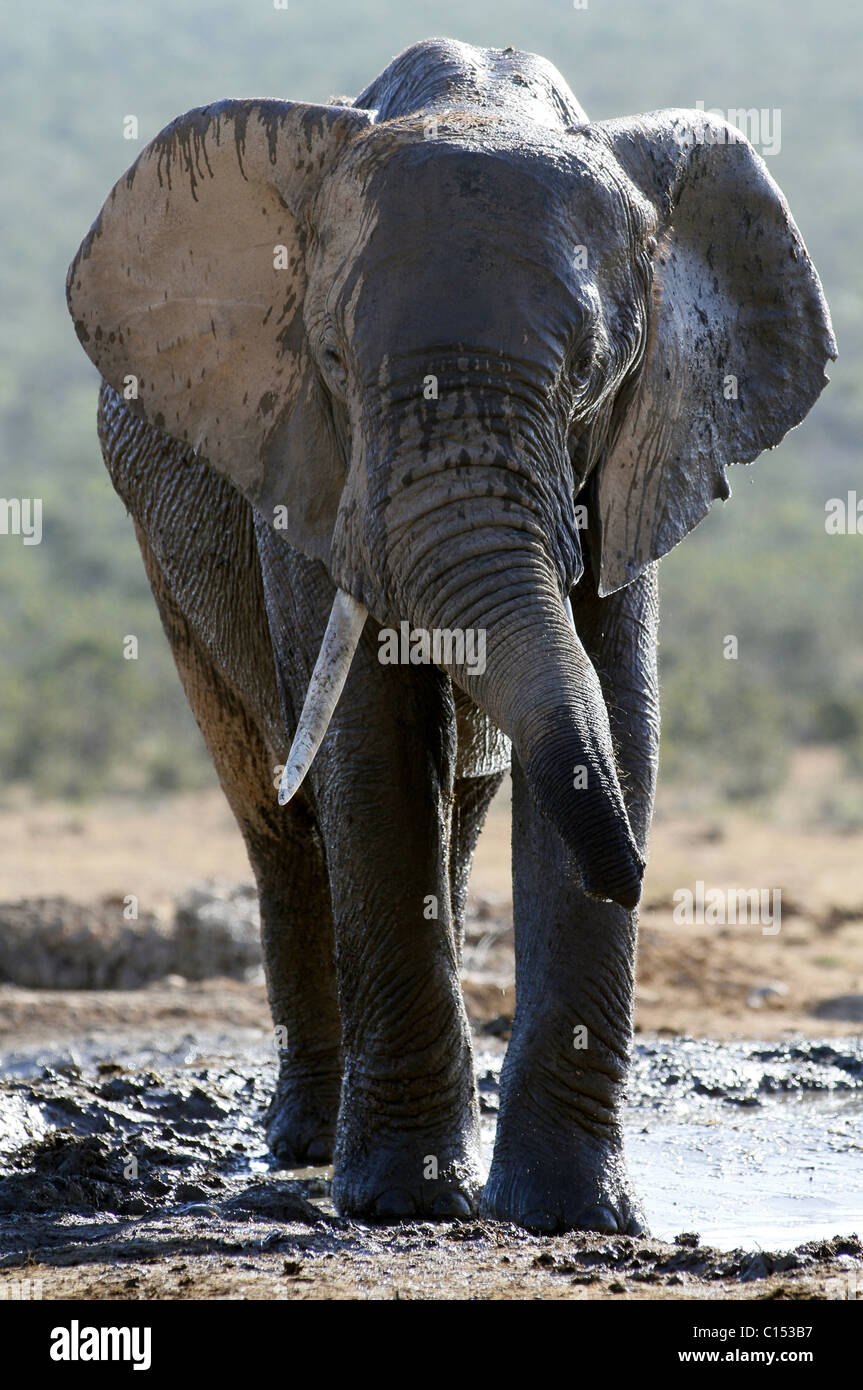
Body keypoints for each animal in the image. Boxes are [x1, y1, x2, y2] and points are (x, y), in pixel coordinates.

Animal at [67, 37, 835, 1233]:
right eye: (334, 363)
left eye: (590, 376)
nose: (639, 877)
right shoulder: (307, 458)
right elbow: (370, 742)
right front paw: (402, 1204)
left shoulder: (642, 448)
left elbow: (613, 717)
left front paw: (567, 1214)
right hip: (166, 552)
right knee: (279, 819)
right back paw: (304, 1144)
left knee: (459, 814)